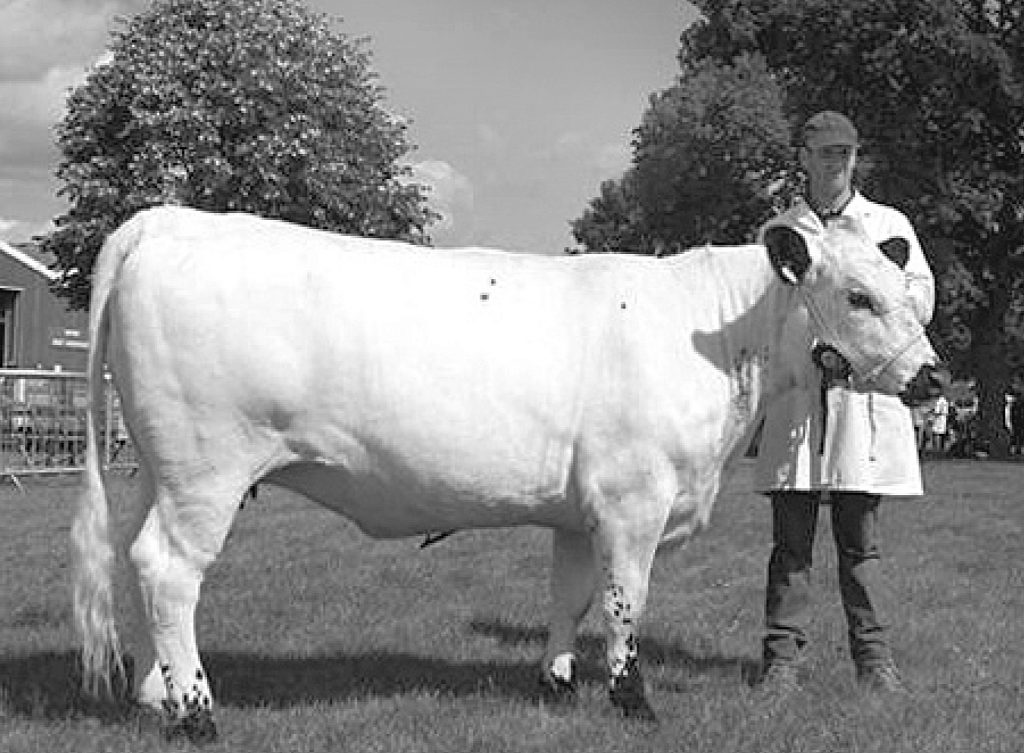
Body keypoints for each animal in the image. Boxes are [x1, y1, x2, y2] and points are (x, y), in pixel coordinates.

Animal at [72, 205, 940, 741]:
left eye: (908, 288)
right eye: (858, 296)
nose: (932, 377)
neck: (717, 337)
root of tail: (165, 219)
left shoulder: (579, 510)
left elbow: (569, 596)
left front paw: (558, 683)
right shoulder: (634, 499)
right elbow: (626, 604)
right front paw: (632, 698)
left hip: (158, 466)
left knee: (135, 558)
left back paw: (154, 693)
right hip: (207, 467)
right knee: (170, 571)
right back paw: (195, 712)